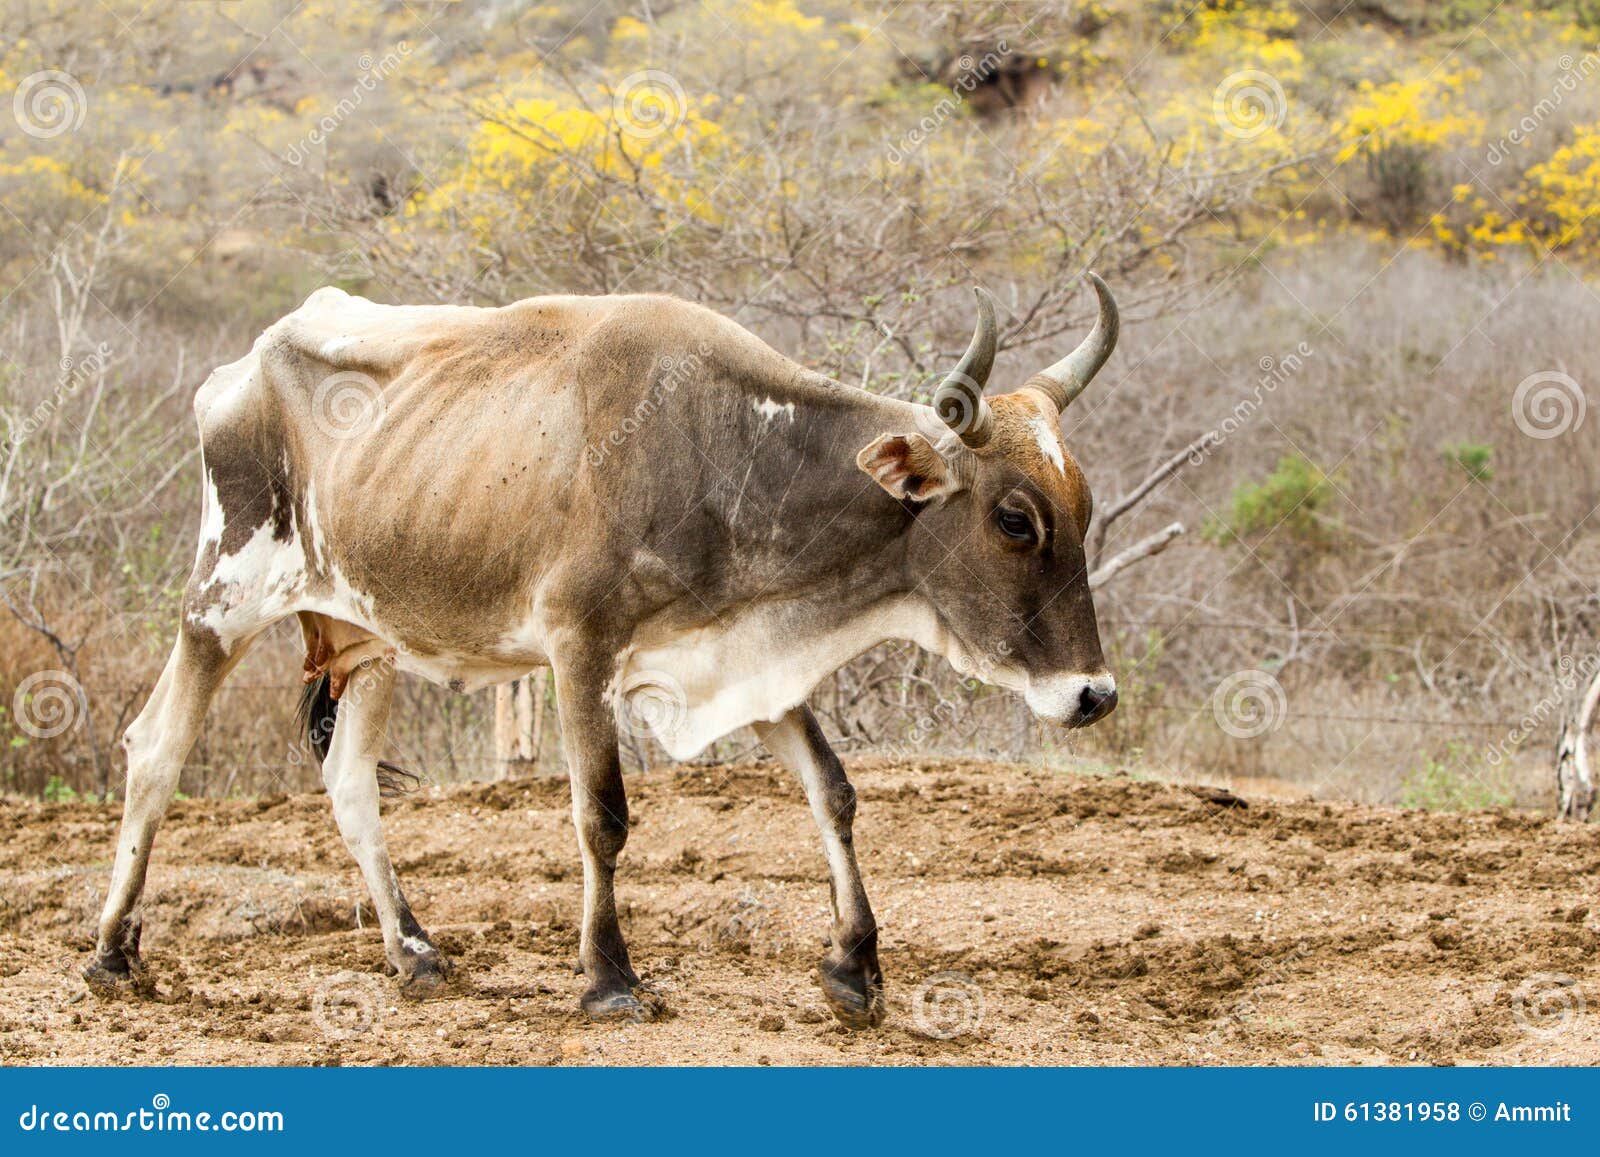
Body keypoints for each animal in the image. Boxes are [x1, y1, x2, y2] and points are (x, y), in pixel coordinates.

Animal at [85, 274, 1122, 1027]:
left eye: (1082, 509)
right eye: (1015, 518)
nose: (1094, 695)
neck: (722, 445)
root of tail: (243, 366)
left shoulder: (747, 661)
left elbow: (833, 790)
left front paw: (855, 964)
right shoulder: (579, 647)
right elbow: (603, 816)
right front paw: (609, 976)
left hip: (368, 640)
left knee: (348, 783)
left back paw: (414, 951)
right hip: (221, 601)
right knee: (155, 750)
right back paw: (112, 952)